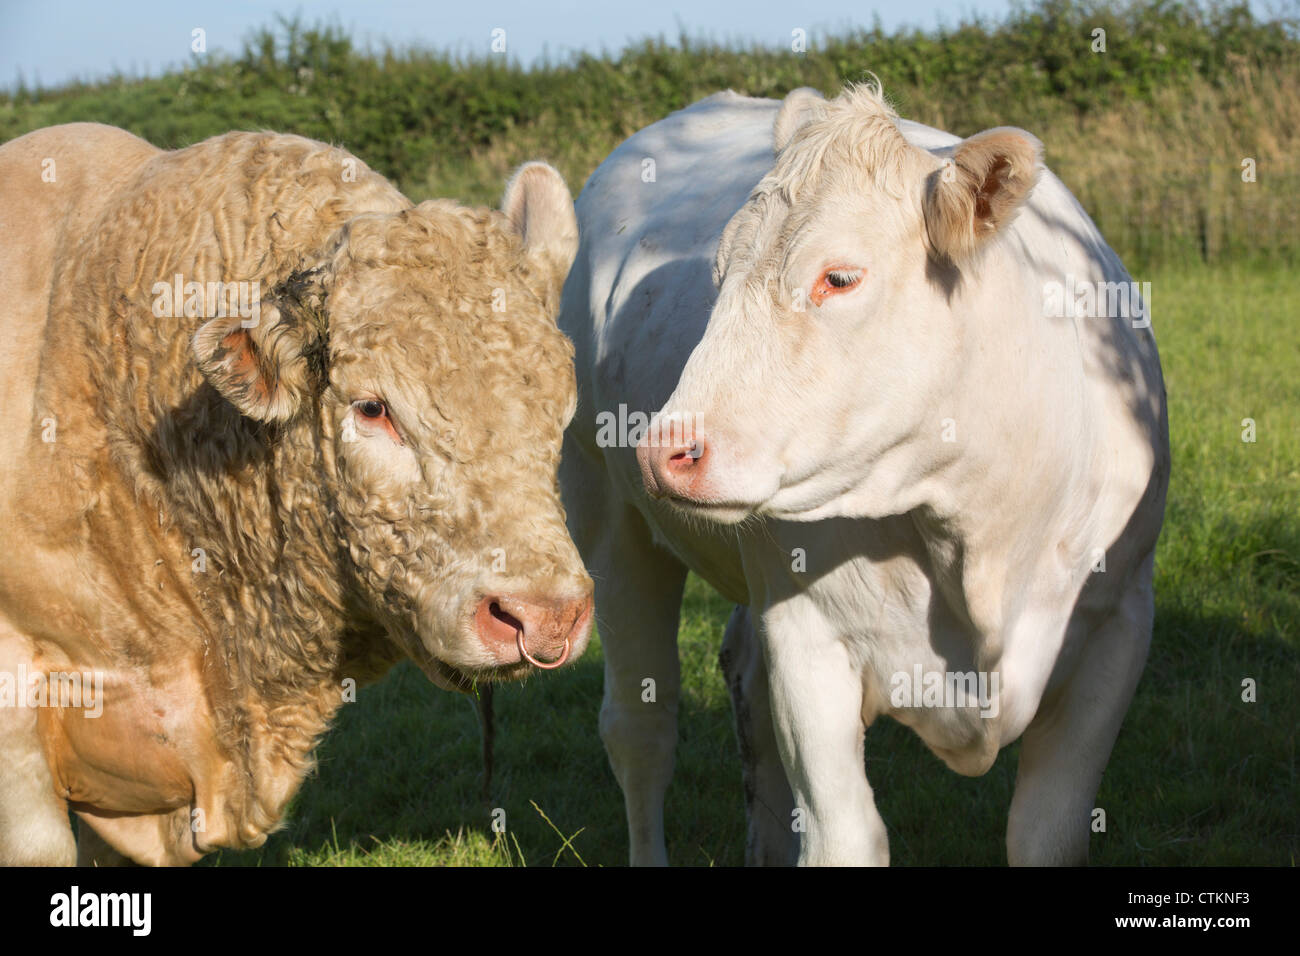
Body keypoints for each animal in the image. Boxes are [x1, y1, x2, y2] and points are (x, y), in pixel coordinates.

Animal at [559, 83, 1169, 865]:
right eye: (720, 276)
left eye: (839, 277)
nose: (665, 449)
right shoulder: (808, 635)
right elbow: (845, 835)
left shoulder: (1117, 626)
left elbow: (1045, 833)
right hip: (606, 515)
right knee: (640, 732)